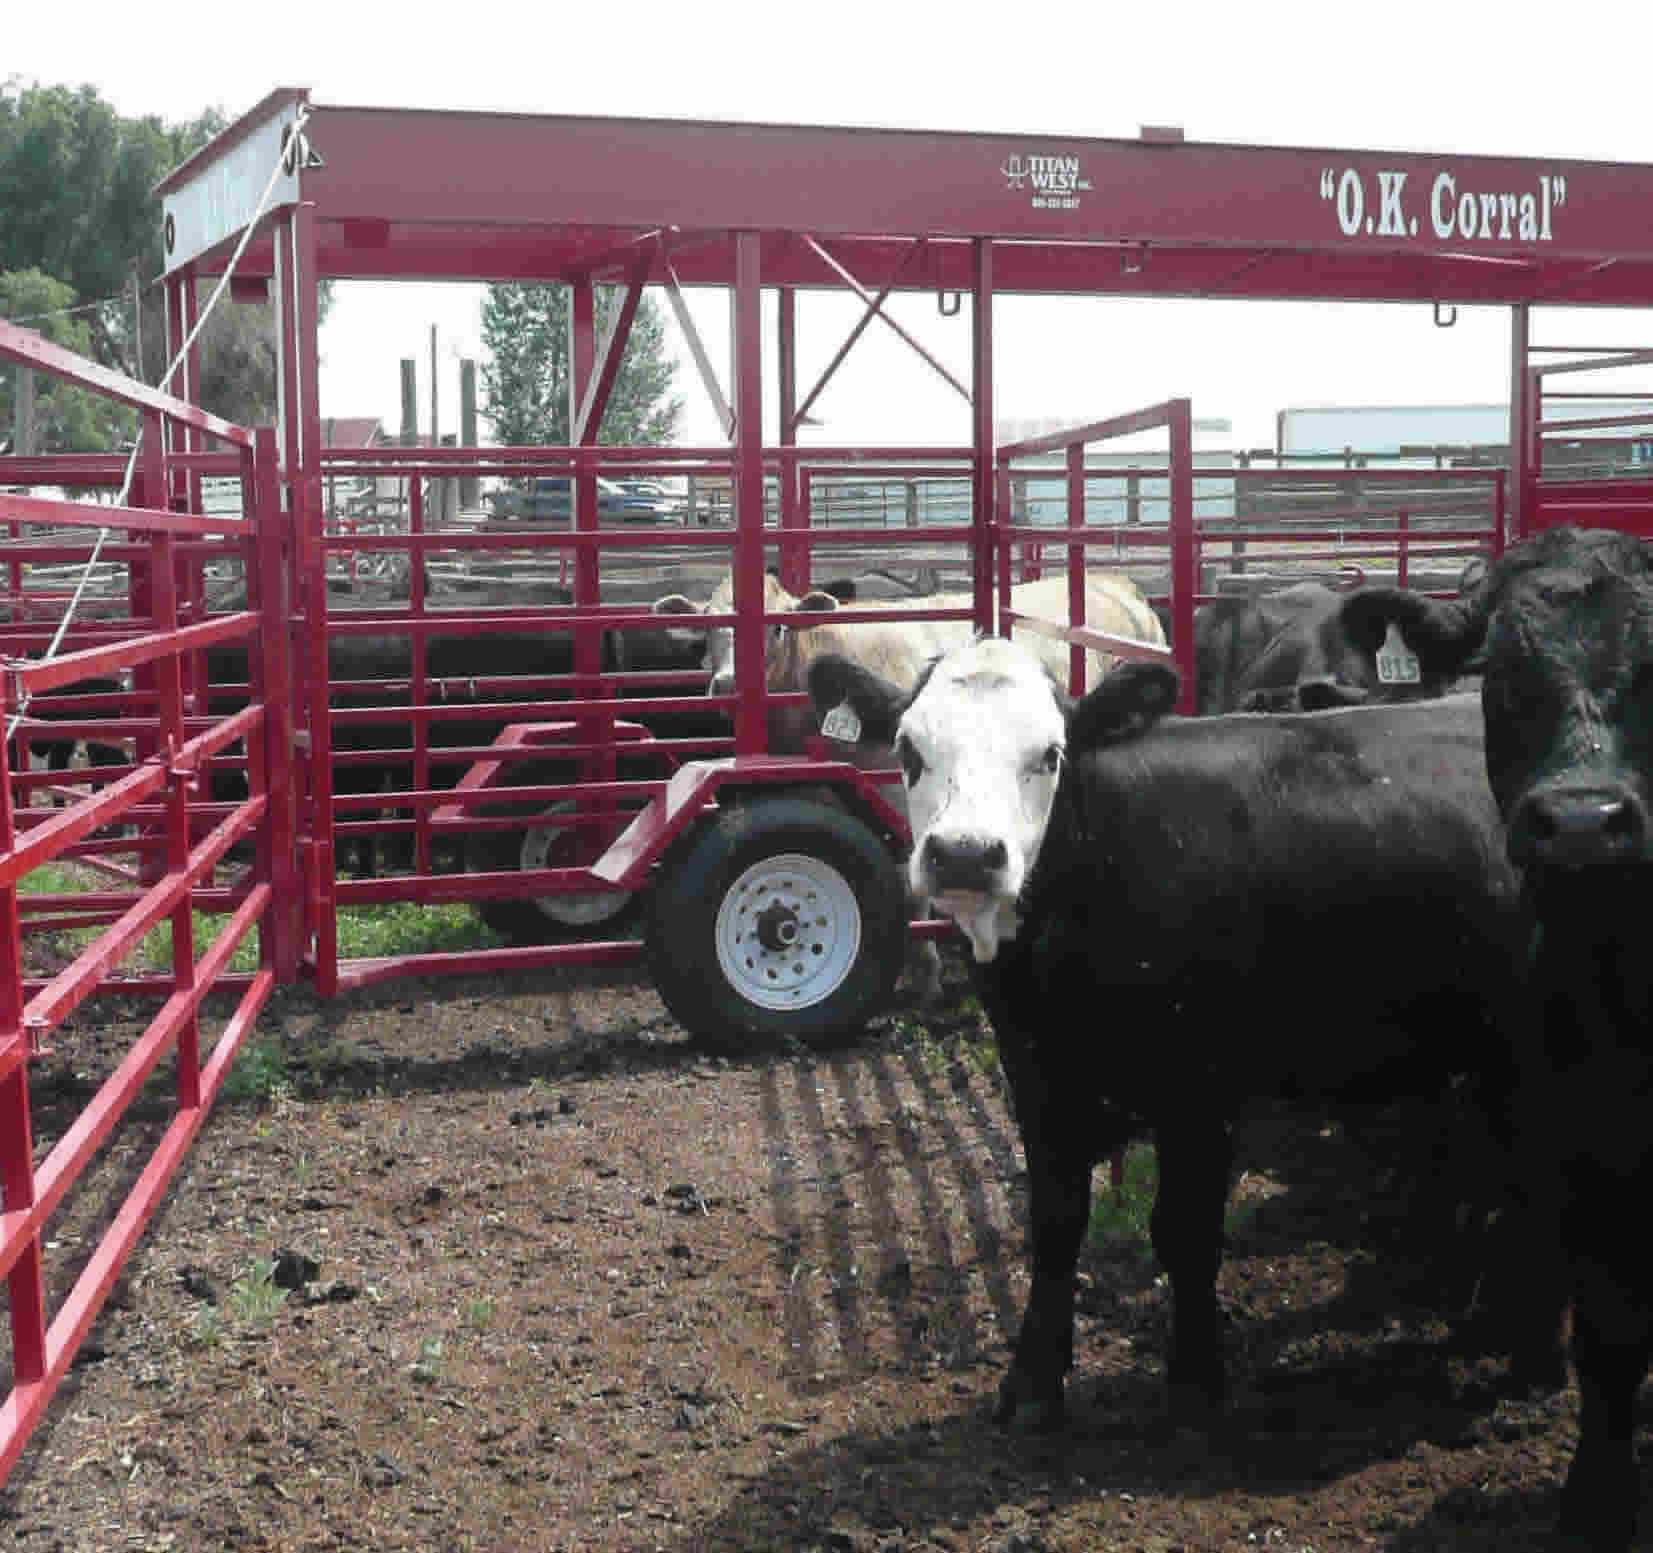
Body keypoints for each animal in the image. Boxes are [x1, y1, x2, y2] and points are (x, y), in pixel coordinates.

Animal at [806, 636, 1542, 1452]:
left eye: (1050, 754)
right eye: (908, 751)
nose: (966, 854)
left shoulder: (1199, 1088)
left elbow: (1185, 1233)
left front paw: (1192, 1388)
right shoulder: (1038, 1076)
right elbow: (1054, 1223)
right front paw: (1032, 1385)